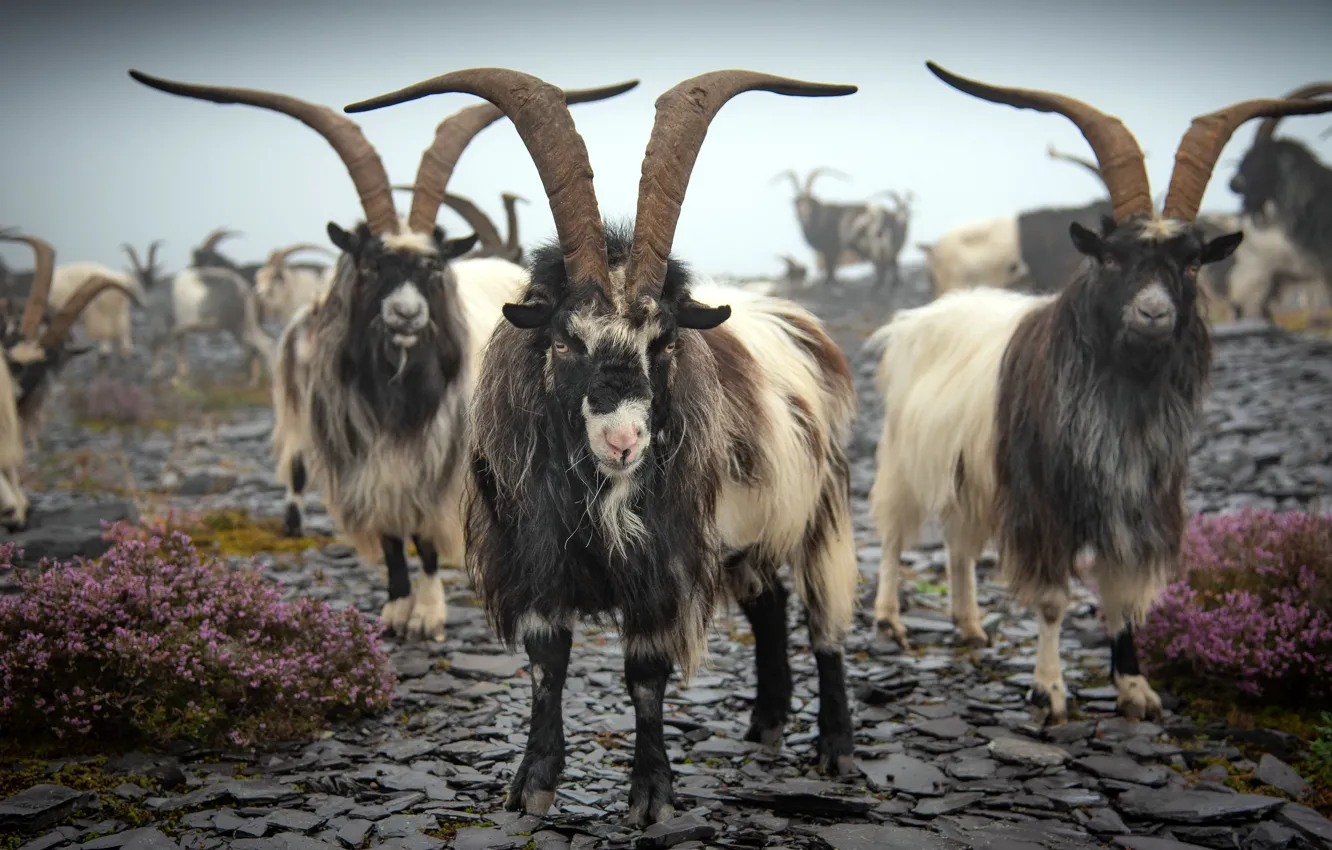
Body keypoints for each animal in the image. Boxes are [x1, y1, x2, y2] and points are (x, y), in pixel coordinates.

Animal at [131, 67, 639, 642]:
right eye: (371, 265)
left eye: (434, 266)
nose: (406, 314)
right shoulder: (367, 462)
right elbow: (393, 538)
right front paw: (397, 607)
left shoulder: (438, 464)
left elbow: (425, 537)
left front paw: (429, 613)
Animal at [347, 67, 860, 827]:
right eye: (564, 338)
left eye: (666, 339)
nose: (622, 440)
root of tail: (799, 323)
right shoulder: (533, 556)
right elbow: (546, 660)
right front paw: (532, 782)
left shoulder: (663, 564)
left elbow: (645, 673)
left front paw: (651, 794)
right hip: (747, 533)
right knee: (768, 603)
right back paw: (766, 722)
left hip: (821, 513)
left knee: (825, 623)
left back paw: (835, 747)